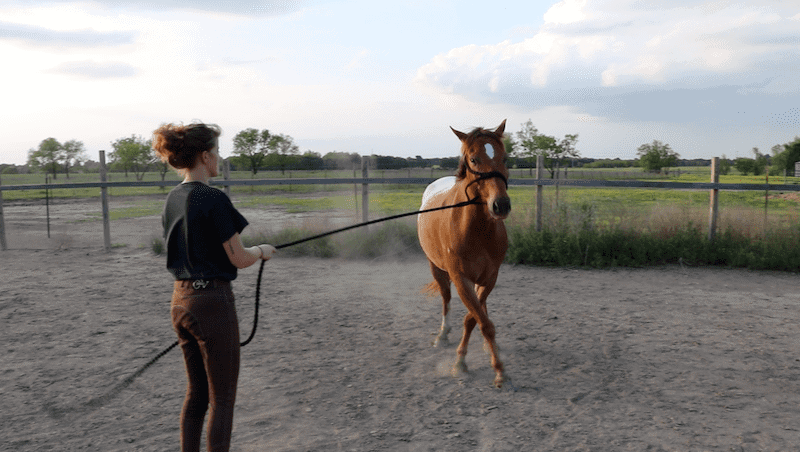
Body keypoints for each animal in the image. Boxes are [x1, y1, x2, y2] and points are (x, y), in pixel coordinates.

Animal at [417, 120, 511, 388]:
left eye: (504, 157)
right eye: (473, 159)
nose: (501, 205)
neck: (475, 229)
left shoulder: (490, 277)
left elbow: (475, 318)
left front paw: (492, 362)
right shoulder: (461, 279)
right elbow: (478, 319)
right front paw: (463, 363)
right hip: (436, 268)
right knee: (446, 299)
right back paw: (442, 335)